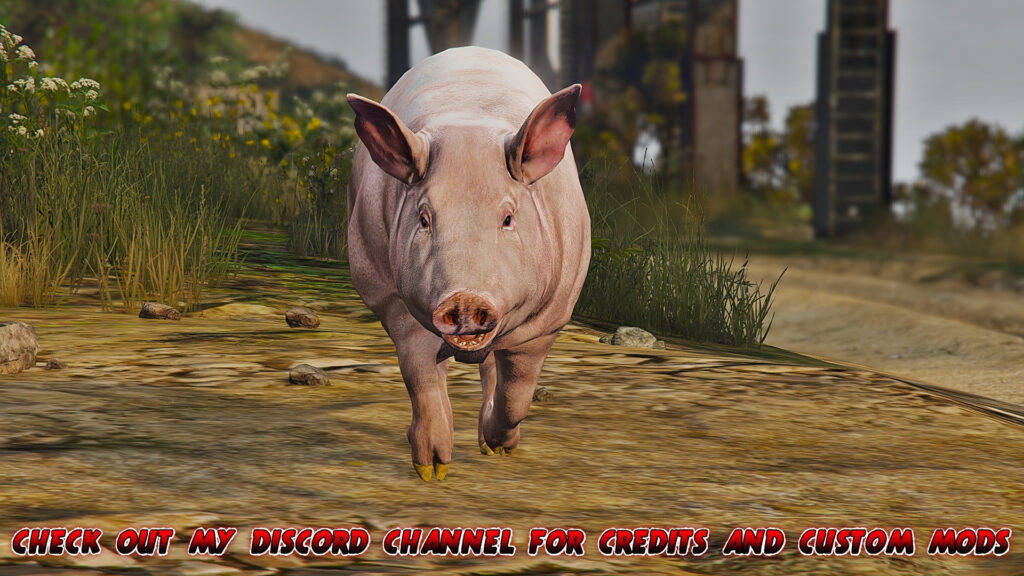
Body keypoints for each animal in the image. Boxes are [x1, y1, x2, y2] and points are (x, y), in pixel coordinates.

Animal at [346, 46, 590, 481]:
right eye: (424, 219)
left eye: (508, 218)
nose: (464, 300)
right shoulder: (391, 298)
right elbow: (420, 374)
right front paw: (432, 471)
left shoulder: (549, 320)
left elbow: (517, 394)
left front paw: (498, 448)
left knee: (494, 371)